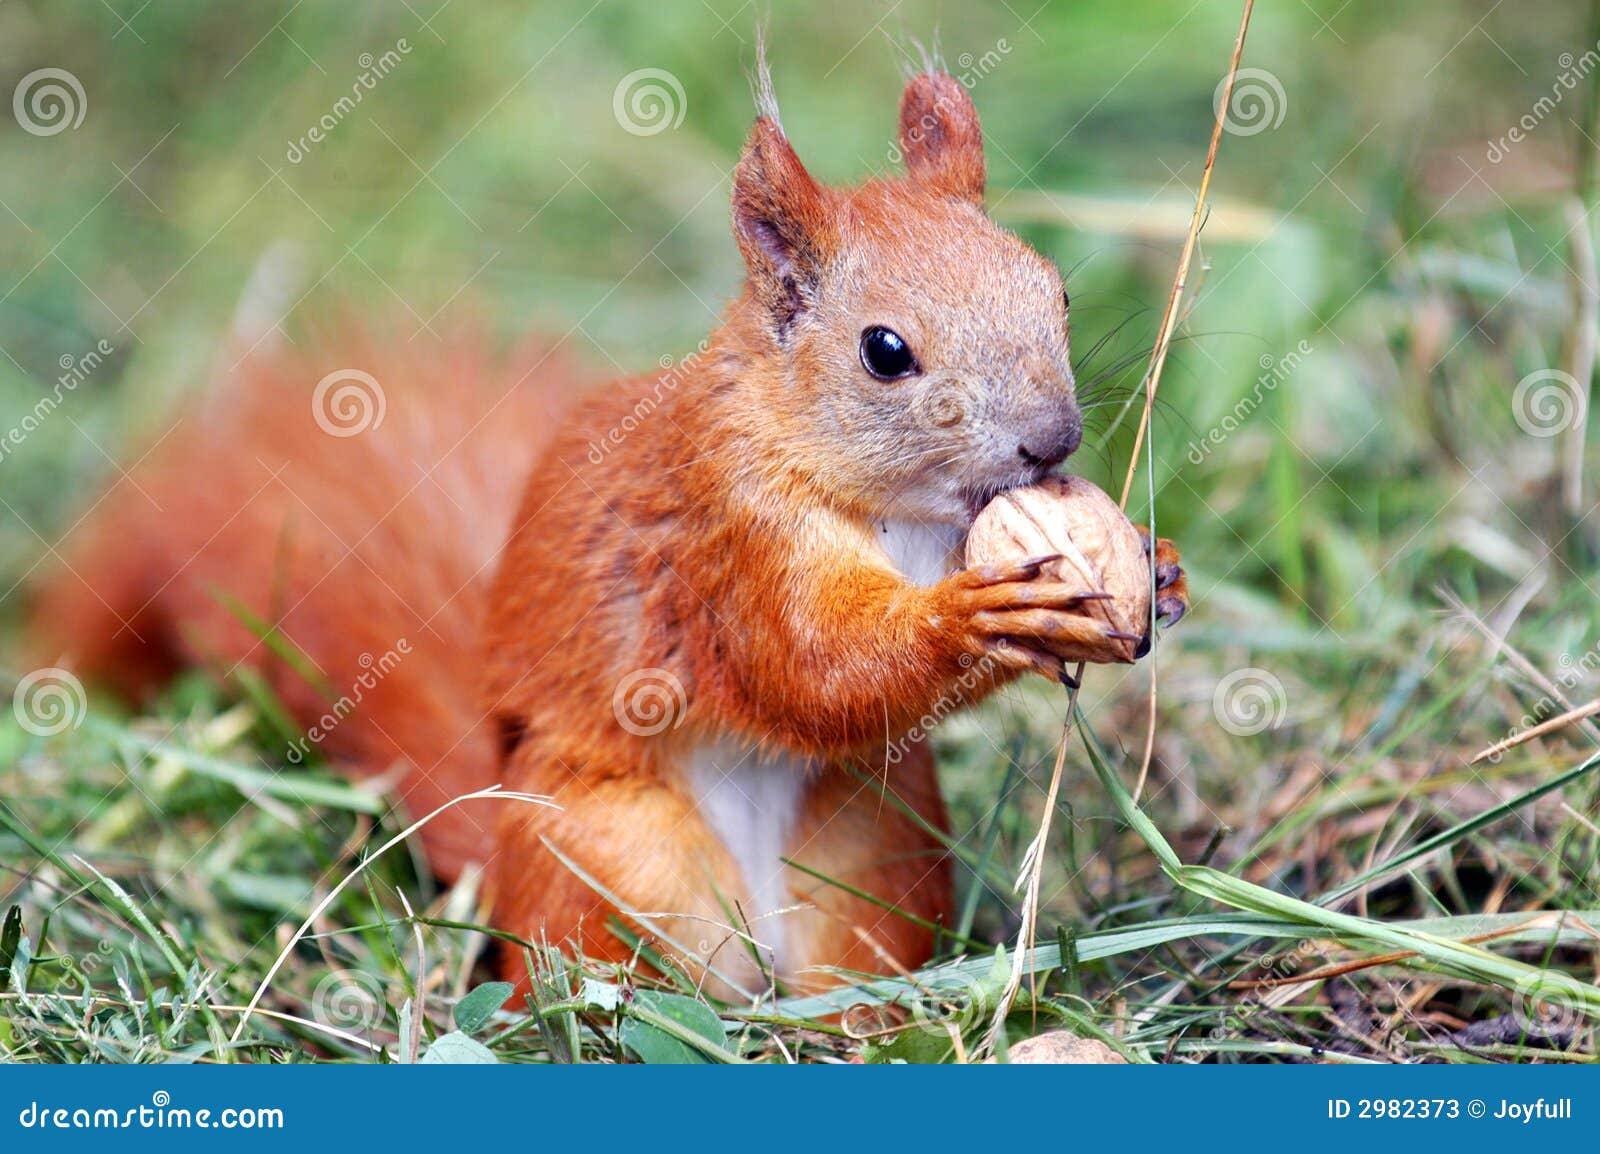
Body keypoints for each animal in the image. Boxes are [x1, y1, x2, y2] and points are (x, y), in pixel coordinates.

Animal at [30, 64, 1187, 997]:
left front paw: (1158, 571)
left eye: (1056, 290)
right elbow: (812, 665)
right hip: (613, 858)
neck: (899, 515)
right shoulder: (725, 534)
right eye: (885, 351)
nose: (1052, 439)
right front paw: (978, 614)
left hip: (876, 838)